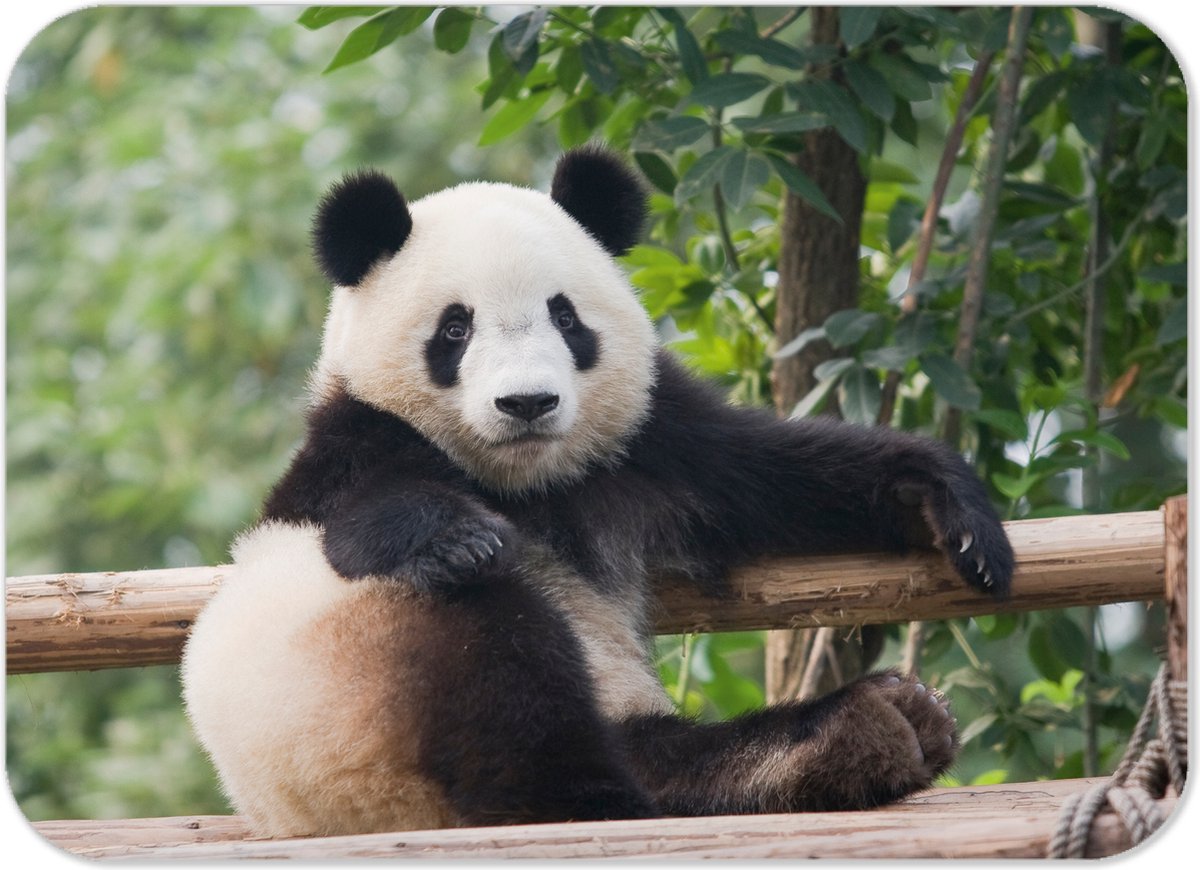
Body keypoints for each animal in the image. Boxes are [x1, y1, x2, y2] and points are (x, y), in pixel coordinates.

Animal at [181, 146, 1015, 838]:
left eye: (565, 315)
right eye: (455, 329)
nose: (527, 403)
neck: (524, 482)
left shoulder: (649, 442)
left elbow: (779, 475)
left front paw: (957, 516)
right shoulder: (353, 446)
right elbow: (366, 519)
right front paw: (463, 539)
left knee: (659, 745)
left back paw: (870, 730)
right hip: (362, 691)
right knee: (507, 679)